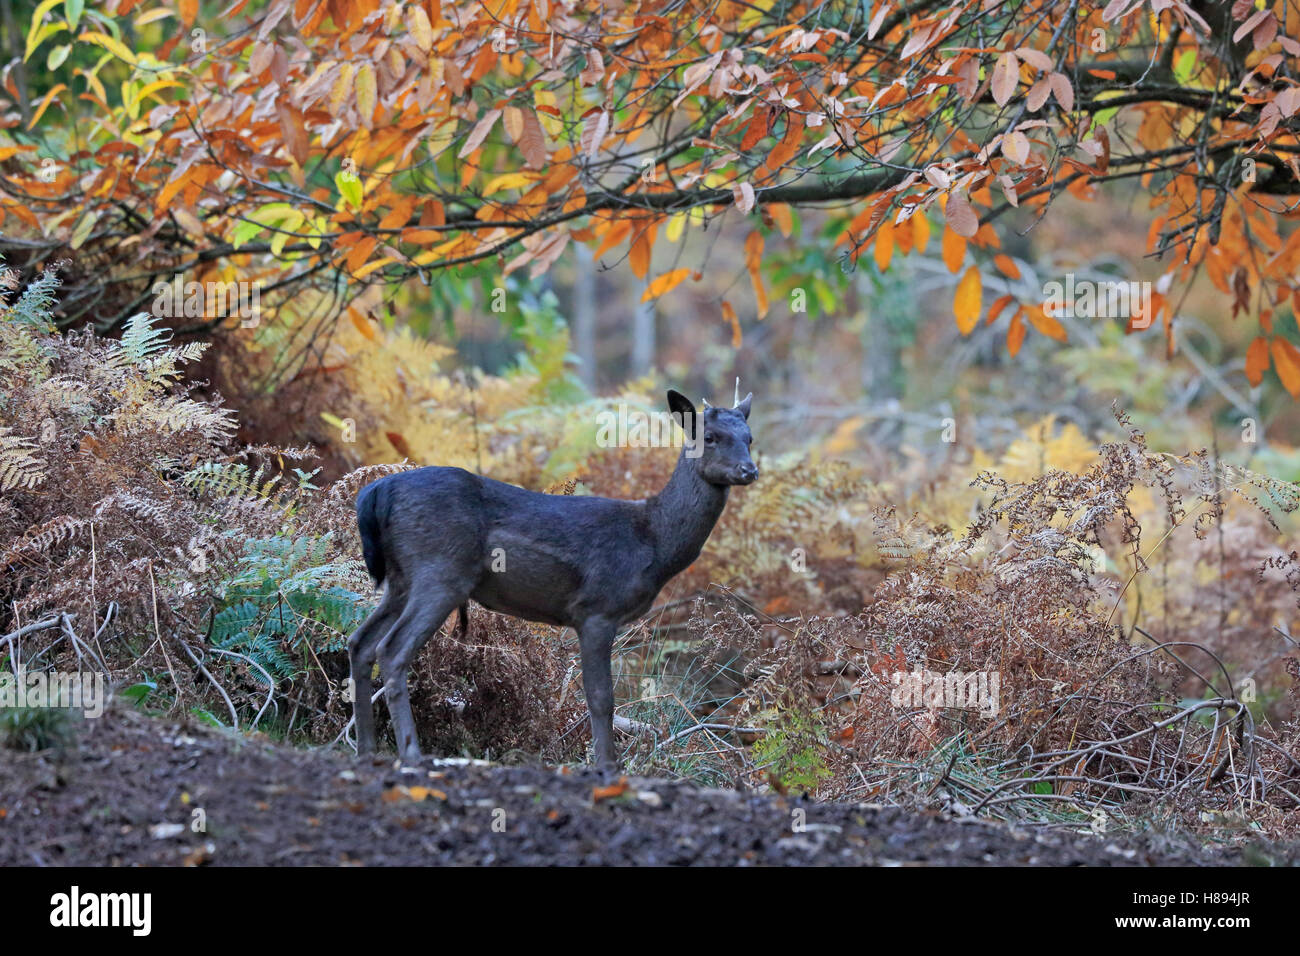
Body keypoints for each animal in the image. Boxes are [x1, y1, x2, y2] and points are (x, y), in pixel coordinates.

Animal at [345, 388, 757, 770]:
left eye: (750, 438)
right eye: (709, 437)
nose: (749, 471)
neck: (654, 543)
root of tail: (376, 492)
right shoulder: (597, 610)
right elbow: (601, 698)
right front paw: (606, 766)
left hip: (401, 579)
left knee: (360, 642)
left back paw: (366, 750)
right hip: (440, 570)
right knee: (391, 649)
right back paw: (412, 755)